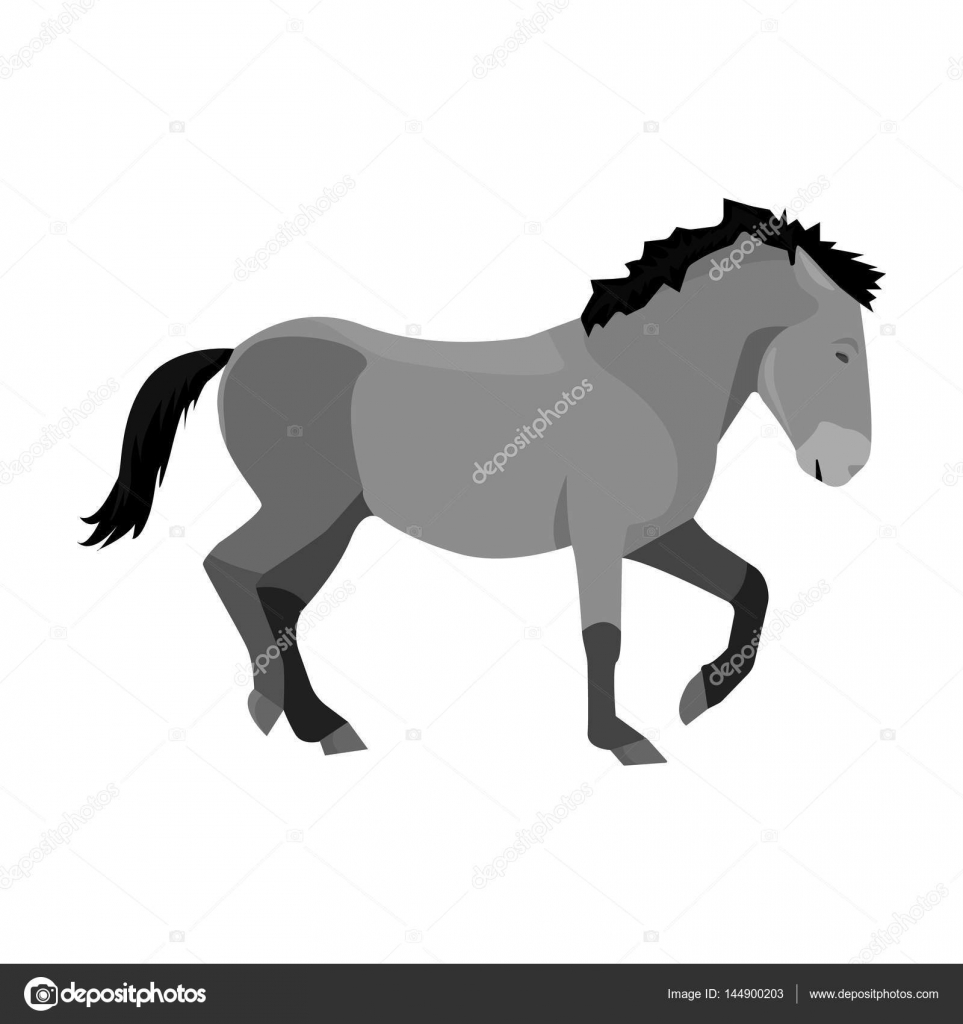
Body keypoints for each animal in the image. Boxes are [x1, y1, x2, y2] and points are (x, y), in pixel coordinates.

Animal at [83, 200, 882, 765]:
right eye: (841, 352)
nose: (843, 465)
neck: (643, 388)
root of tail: (238, 350)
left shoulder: (655, 534)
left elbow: (752, 585)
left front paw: (702, 693)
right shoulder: (599, 536)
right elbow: (603, 635)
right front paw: (620, 740)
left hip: (335, 520)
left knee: (275, 595)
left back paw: (301, 717)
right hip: (304, 508)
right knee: (231, 568)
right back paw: (297, 716)